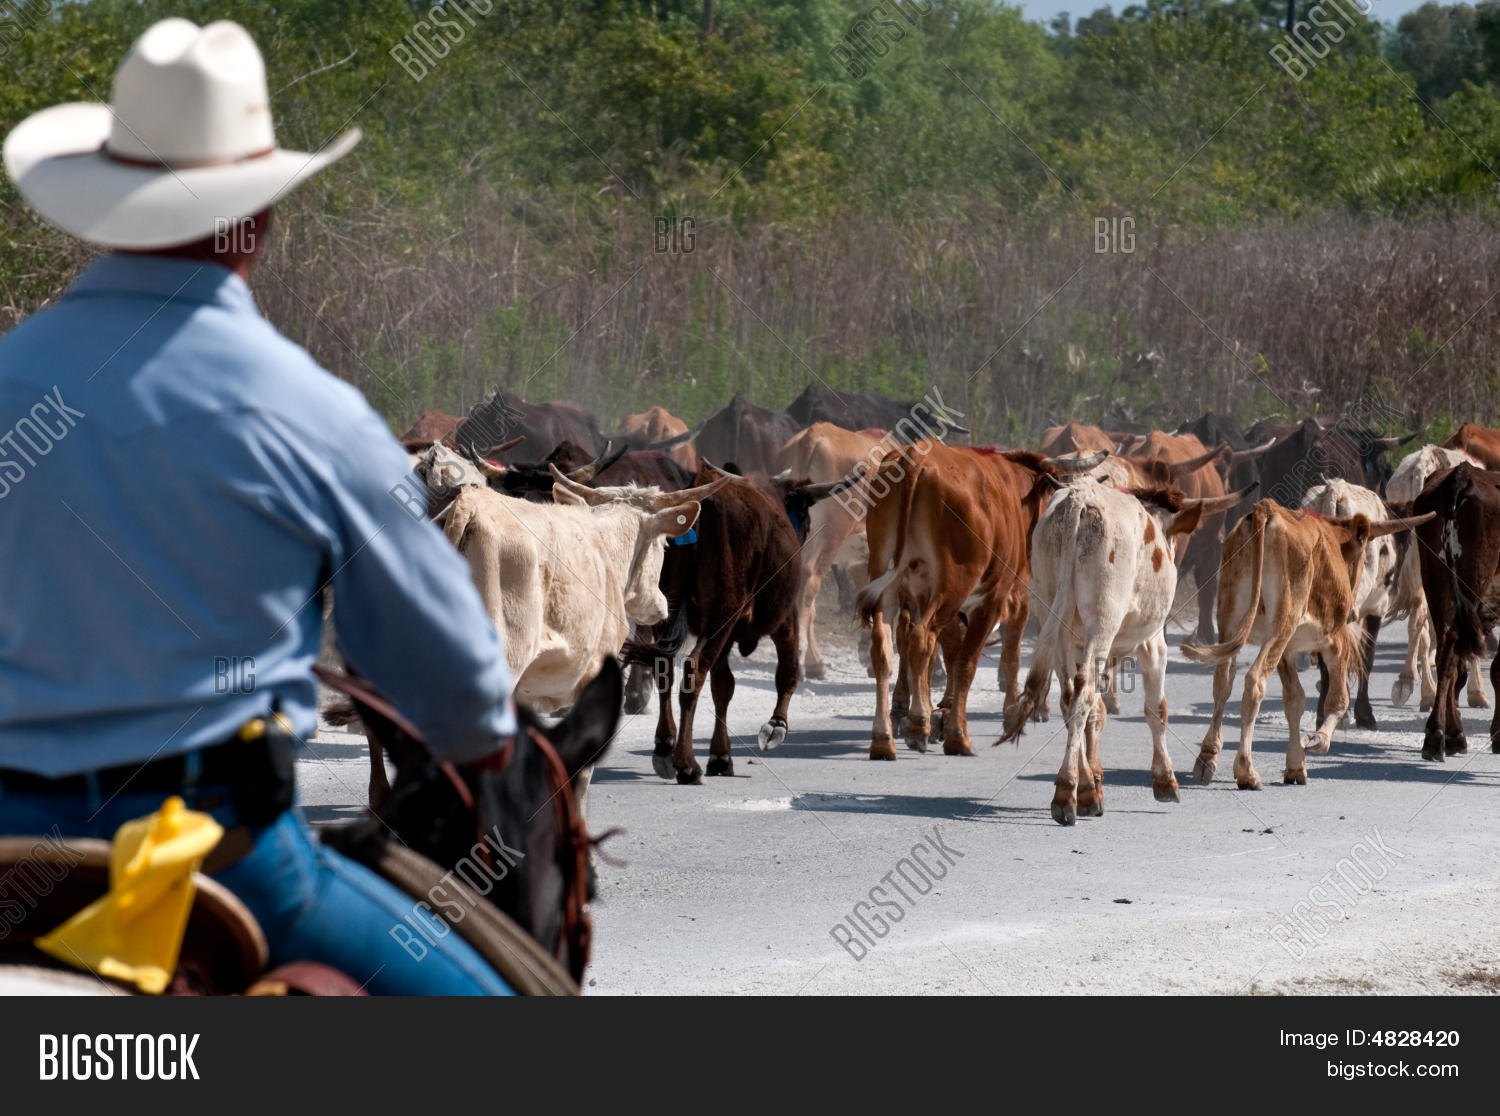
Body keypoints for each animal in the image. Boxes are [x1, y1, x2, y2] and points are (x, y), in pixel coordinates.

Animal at [623, 464, 861, 783]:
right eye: (805, 515)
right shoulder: (785, 618)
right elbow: (788, 672)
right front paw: (776, 726)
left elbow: (723, 687)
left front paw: (720, 756)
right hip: (722, 616)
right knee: (693, 671)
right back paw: (687, 764)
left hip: (668, 609)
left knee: (665, 669)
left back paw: (664, 746)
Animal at [998, 481, 1248, 824]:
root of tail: (1079, 500)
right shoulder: (1154, 641)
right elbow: (1156, 710)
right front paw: (1165, 780)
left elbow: (1097, 713)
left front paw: (1094, 785)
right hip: (1103, 620)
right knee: (1083, 696)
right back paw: (1066, 791)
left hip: (1054, 616)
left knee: (1072, 698)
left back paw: (1082, 788)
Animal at [1414, 462, 1500, 761]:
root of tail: (1462, 474)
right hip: (1470, 581)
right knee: (1451, 654)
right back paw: (1439, 735)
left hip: (1435, 583)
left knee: (1445, 654)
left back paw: (1445, 735)